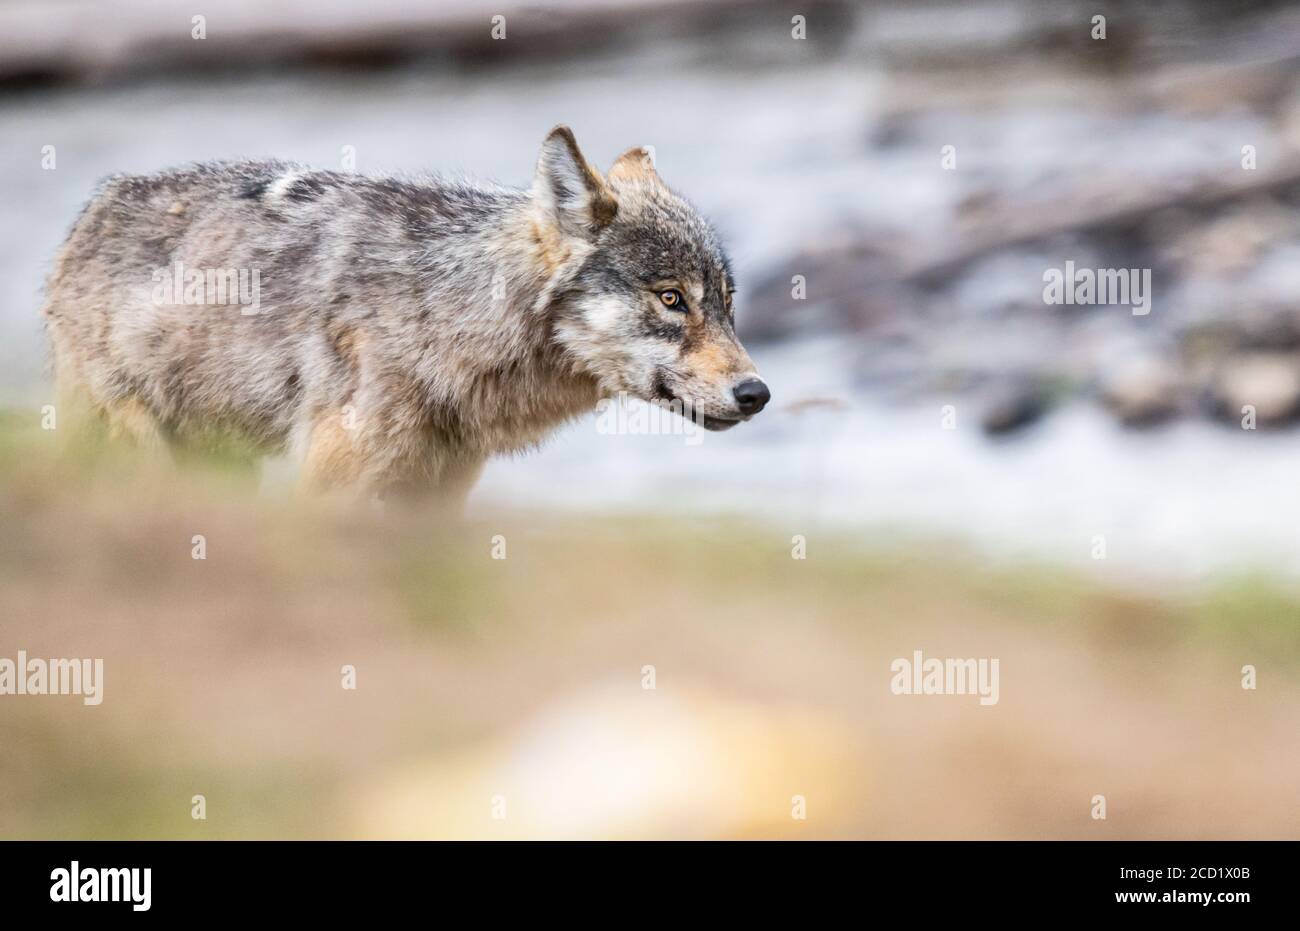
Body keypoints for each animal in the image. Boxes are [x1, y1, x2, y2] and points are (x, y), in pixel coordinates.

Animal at [41, 126, 770, 506]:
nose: (757, 393)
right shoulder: (328, 486)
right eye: (671, 298)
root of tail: (92, 208)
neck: (444, 314)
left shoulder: (435, 498)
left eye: (726, 302)